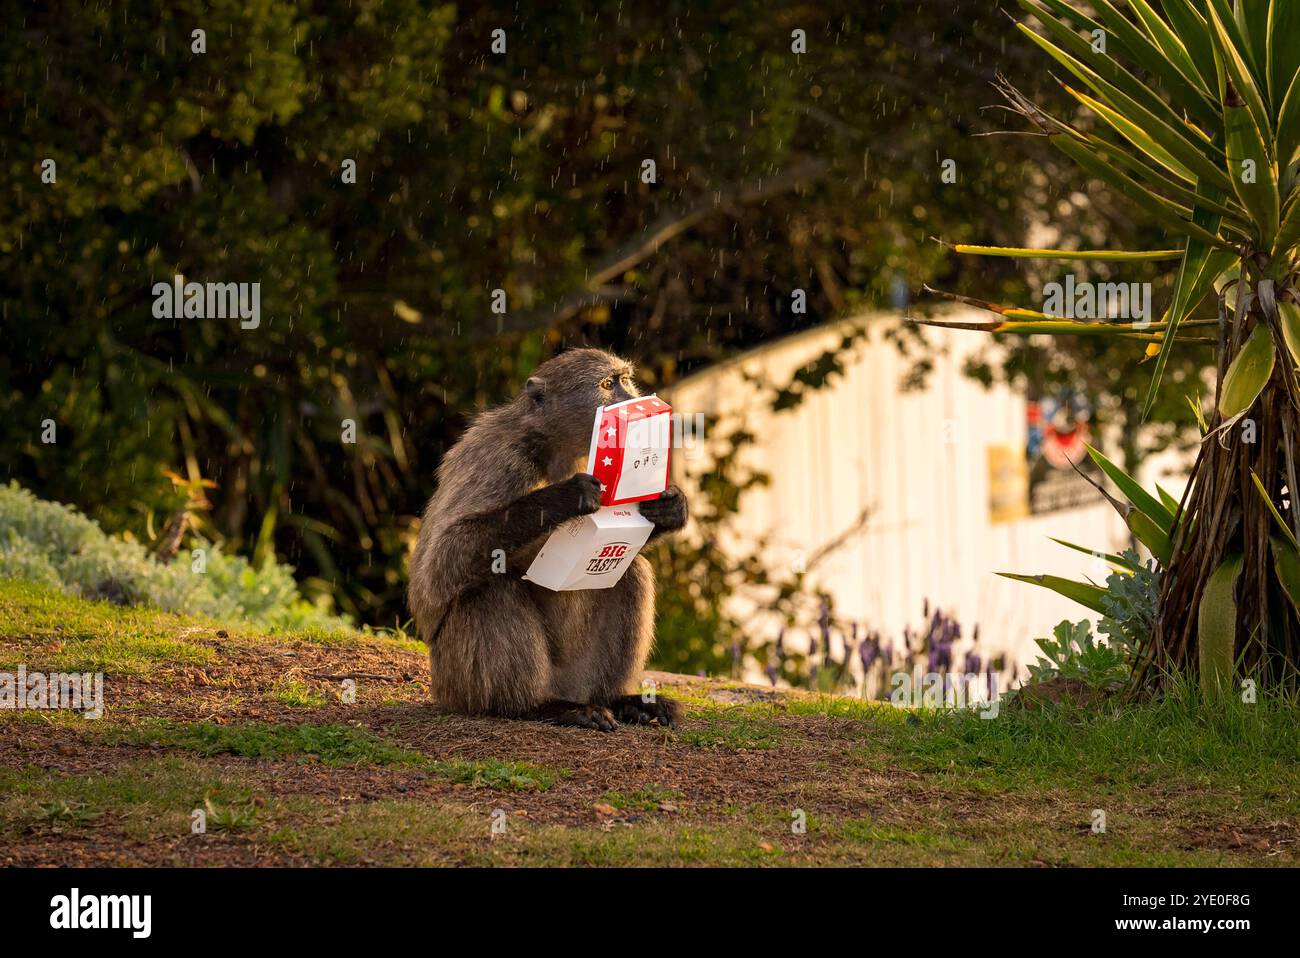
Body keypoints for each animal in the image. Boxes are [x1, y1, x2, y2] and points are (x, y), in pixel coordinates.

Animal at [408, 348, 689, 731]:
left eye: (626, 380)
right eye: (607, 384)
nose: (635, 401)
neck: (556, 447)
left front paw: (670, 506)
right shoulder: (498, 456)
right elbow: (439, 566)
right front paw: (567, 496)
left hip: (579, 676)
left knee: (631, 573)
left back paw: (620, 701)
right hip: (458, 681)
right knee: (491, 587)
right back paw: (538, 708)